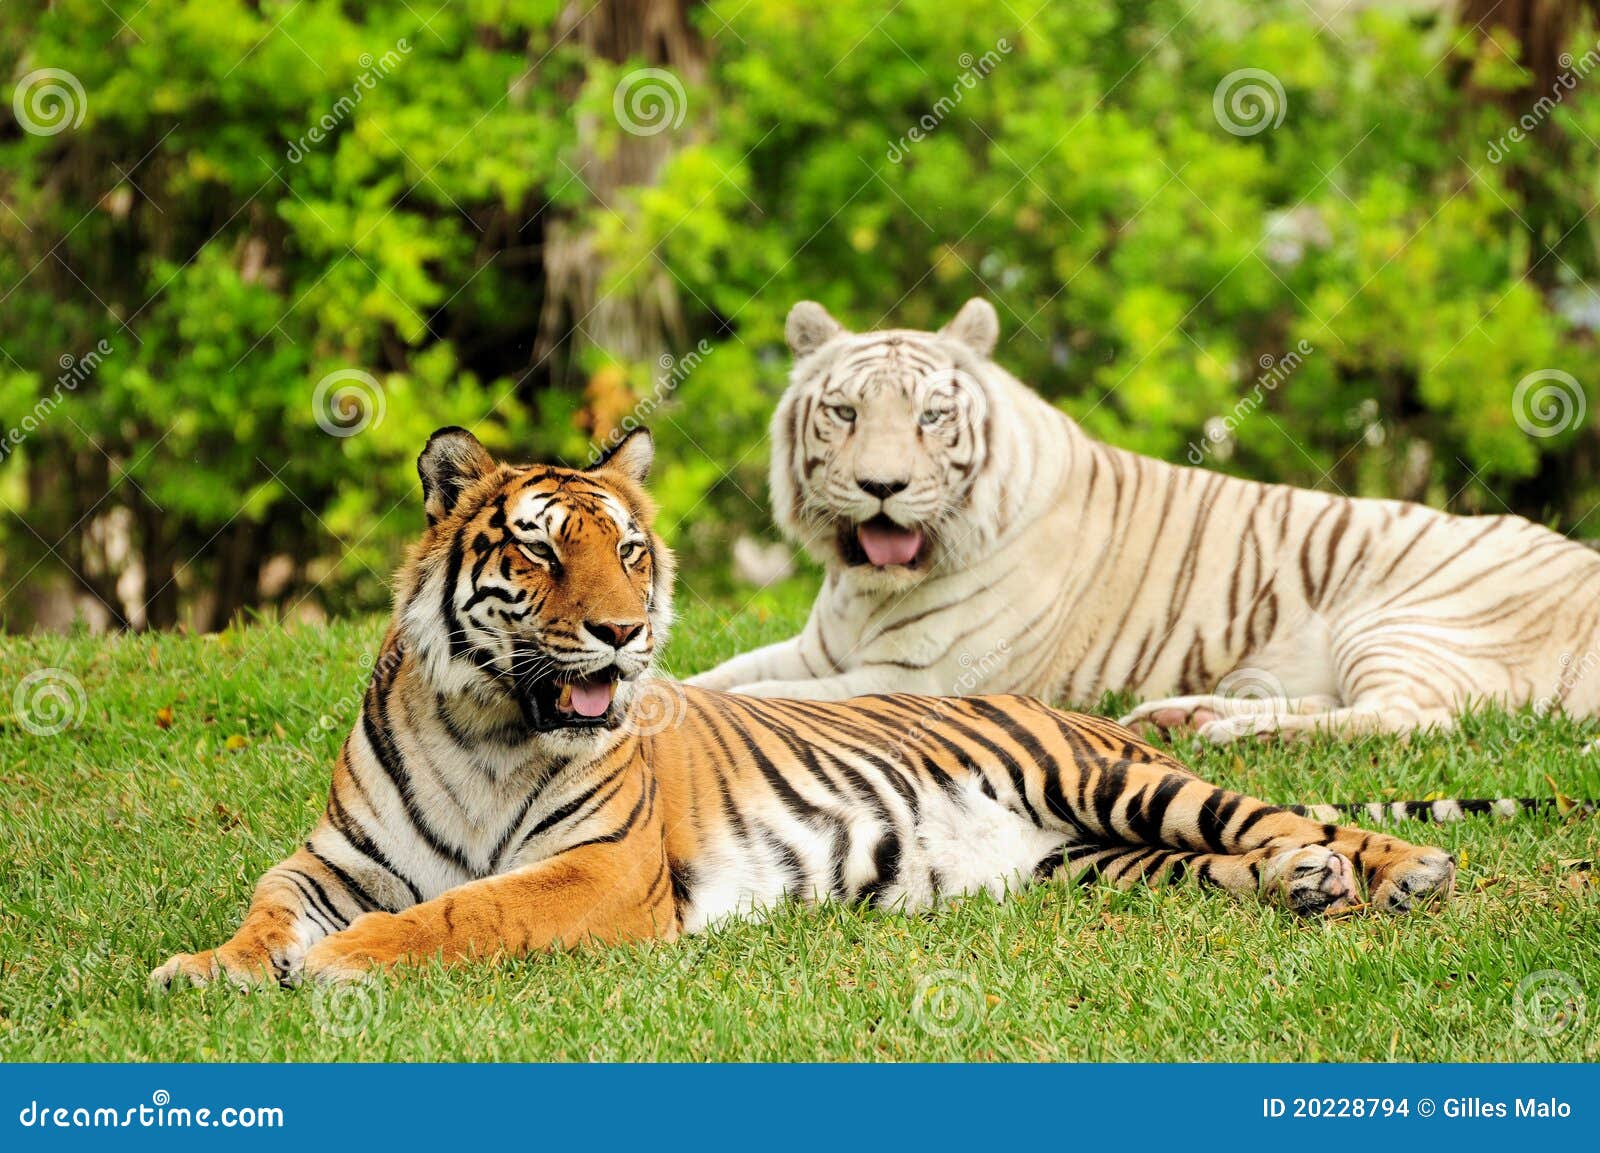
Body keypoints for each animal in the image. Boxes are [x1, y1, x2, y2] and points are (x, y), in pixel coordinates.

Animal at [152, 426, 1461, 988]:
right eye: (539, 551)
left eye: (630, 552)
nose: (623, 634)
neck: (489, 725)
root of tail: (1081, 711)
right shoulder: (335, 856)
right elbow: (268, 910)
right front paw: (206, 968)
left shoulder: (601, 869)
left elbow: (467, 910)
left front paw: (343, 963)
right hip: (1089, 859)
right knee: (1224, 861)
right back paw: (1307, 887)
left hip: (1116, 778)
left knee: (1282, 817)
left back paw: (1399, 870)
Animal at [689, 297, 1600, 744]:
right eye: (844, 412)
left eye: (932, 419)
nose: (883, 486)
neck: (865, 586)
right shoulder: (817, 649)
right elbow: (714, 677)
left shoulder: (921, 678)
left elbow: (765, 699)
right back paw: (1189, 716)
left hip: (1400, 619)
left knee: (1414, 716)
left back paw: (1239, 738)